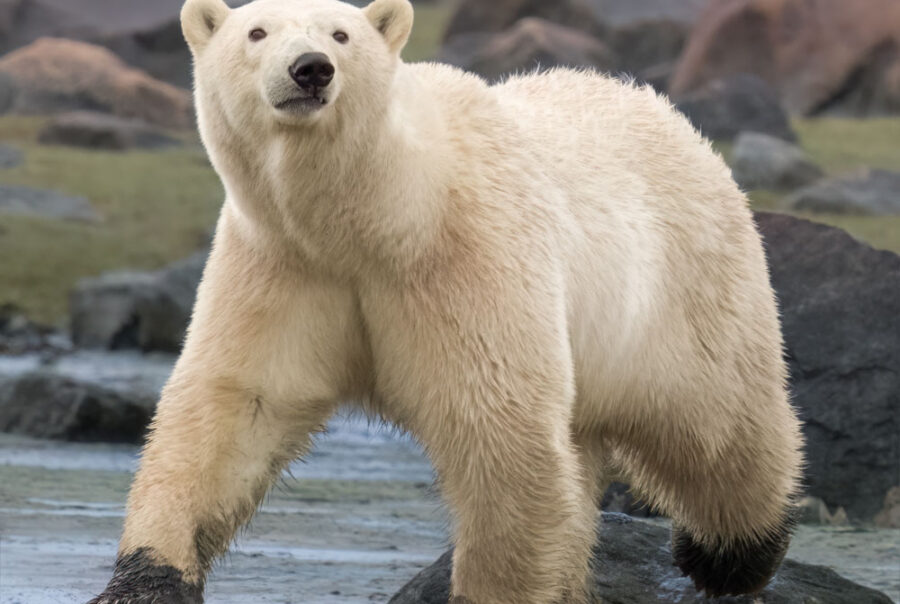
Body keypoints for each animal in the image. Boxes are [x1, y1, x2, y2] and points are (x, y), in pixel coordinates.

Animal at [88, 0, 804, 602]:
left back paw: (733, 554)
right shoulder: (284, 265)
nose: (310, 69)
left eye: (341, 34)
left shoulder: (464, 257)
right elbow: (236, 408)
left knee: (715, 423)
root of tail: (668, 114)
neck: (378, 216)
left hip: (682, 287)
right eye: (256, 32)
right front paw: (148, 581)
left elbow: (498, 427)